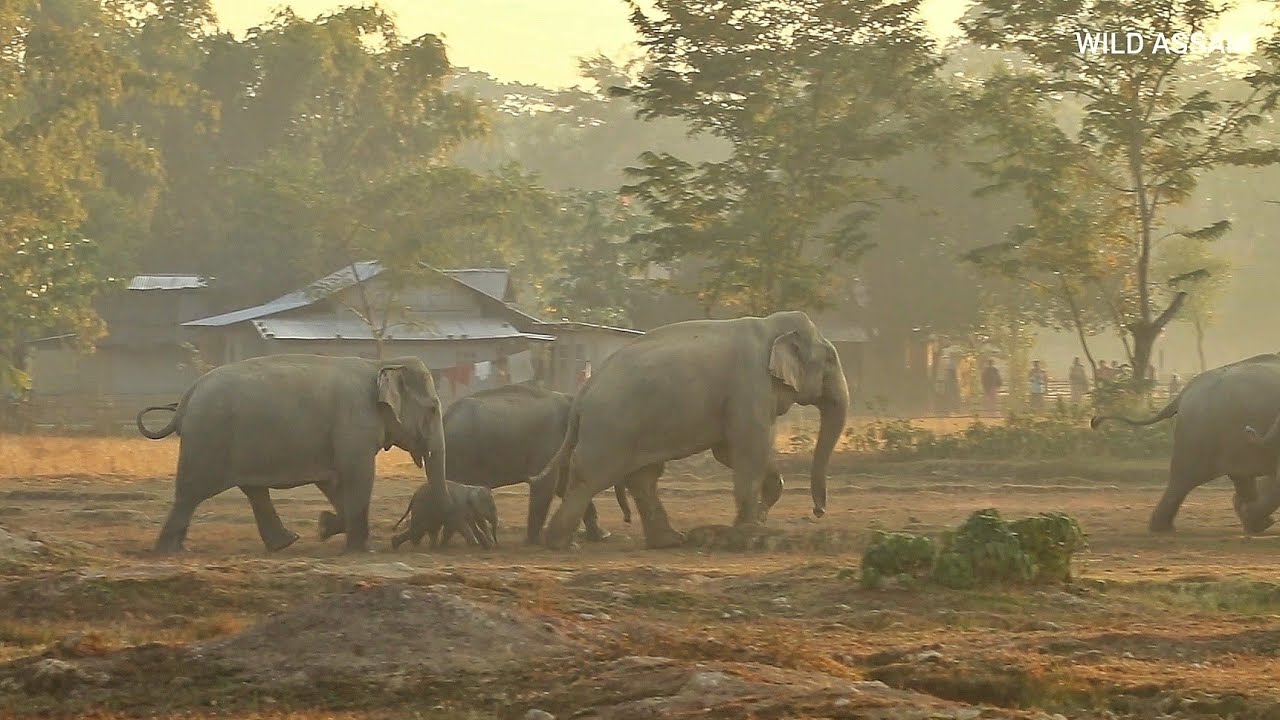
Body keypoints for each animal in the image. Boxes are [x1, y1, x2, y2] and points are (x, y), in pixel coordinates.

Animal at [137, 354, 446, 554]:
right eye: (433, 409)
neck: (380, 364)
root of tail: (186, 398)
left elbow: (333, 483)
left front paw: (327, 526)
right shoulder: (354, 424)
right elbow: (358, 475)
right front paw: (362, 549)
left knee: (252, 490)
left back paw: (284, 542)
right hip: (209, 437)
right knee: (191, 492)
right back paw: (170, 551)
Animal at [529, 310, 850, 551]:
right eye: (830, 359)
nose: (818, 512)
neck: (770, 325)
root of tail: (582, 393)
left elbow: (729, 451)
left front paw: (758, 519)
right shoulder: (750, 383)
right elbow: (749, 446)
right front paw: (746, 531)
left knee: (643, 477)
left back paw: (669, 541)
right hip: (610, 428)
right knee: (591, 476)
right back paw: (561, 544)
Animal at [1090, 352, 1280, 534]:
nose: (1249, 429)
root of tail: (1185, 391)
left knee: (1236, 477)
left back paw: (1253, 521)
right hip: (1199, 433)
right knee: (1185, 477)